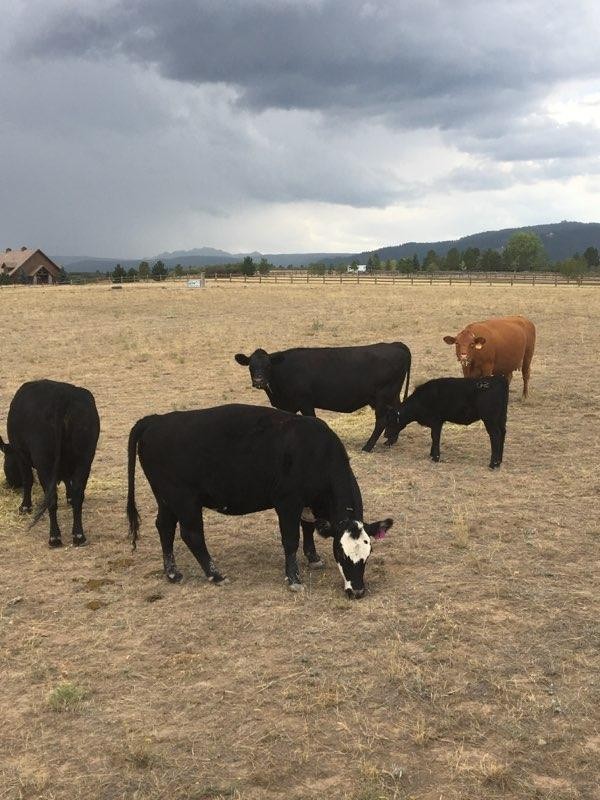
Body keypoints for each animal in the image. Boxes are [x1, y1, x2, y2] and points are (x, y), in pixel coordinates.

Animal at [0, 380, 100, 547]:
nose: (10, 484)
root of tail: (62, 397)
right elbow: (67, 481)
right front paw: (69, 497)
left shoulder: (21, 455)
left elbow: (28, 480)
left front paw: (25, 506)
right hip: (85, 459)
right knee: (78, 494)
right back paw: (79, 535)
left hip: (44, 463)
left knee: (51, 498)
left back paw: (54, 537)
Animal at [126, 404, 393, 598]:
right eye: (340, 553)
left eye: (367, 555)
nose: (357, 591)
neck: (315, 452)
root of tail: (156, 420)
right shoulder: (287, 503)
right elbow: (291, 540)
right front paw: (294, 579)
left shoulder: (306, 504)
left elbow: (307, 528)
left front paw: (313, 558)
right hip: (185, 500)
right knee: (192, 535)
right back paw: (216, 575)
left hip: (166, 499)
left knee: (164, 527)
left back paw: (172, 573)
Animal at [234, 343, 411, 452]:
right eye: (250, 366)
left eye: (268, 366)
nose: (259, 381)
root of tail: (395, 345)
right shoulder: (290, 405)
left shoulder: (305, 401)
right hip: (392, 395)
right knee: (396, 412)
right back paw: (391, 440)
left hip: (383, 396)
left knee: (381, 420)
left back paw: (368, 447)